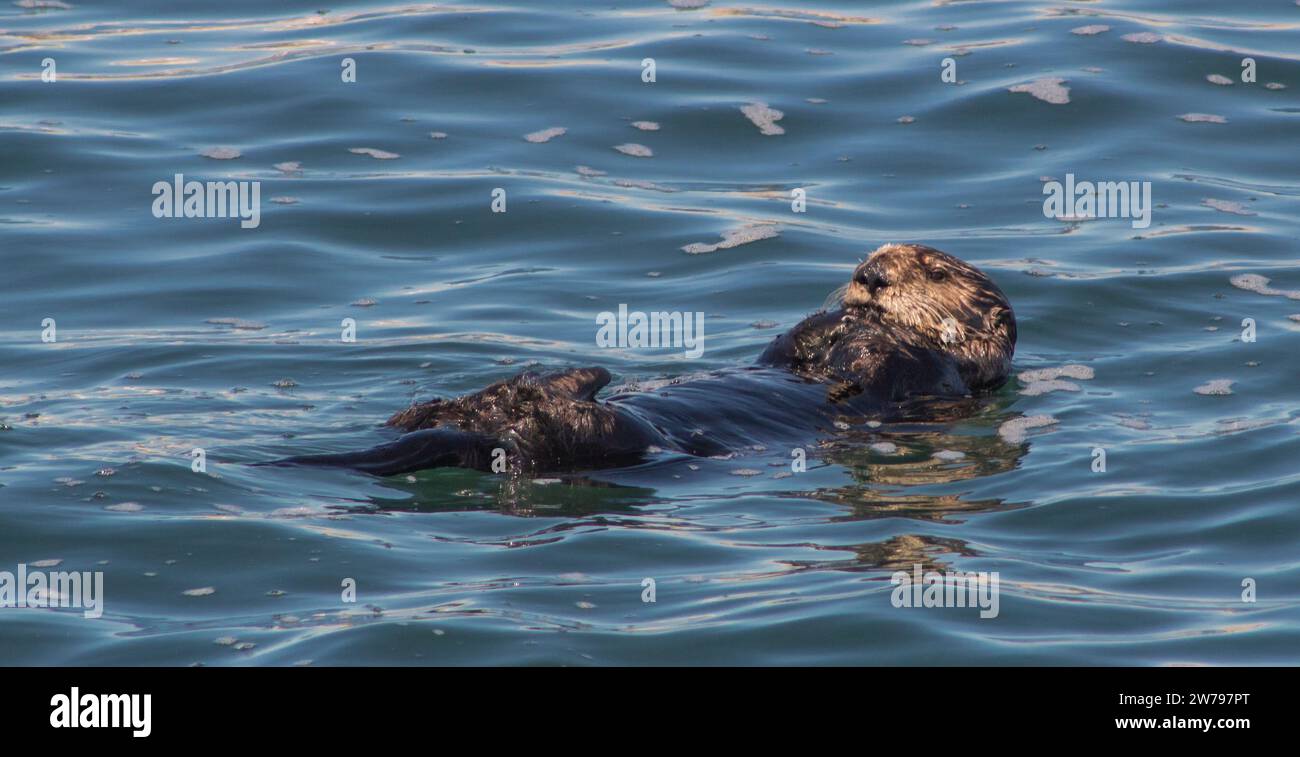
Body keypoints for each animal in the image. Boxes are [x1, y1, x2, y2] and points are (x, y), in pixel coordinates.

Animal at [263, 244, 1016, 477]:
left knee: (560, 429)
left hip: (601, 441)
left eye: (935, 270)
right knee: (441, 415)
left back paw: (572, 383)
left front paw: (862, 329)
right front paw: (832, 318)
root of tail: (485, 437)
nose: (871, 275)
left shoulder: (927, 377)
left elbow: (876, 367)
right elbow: (784, 349)